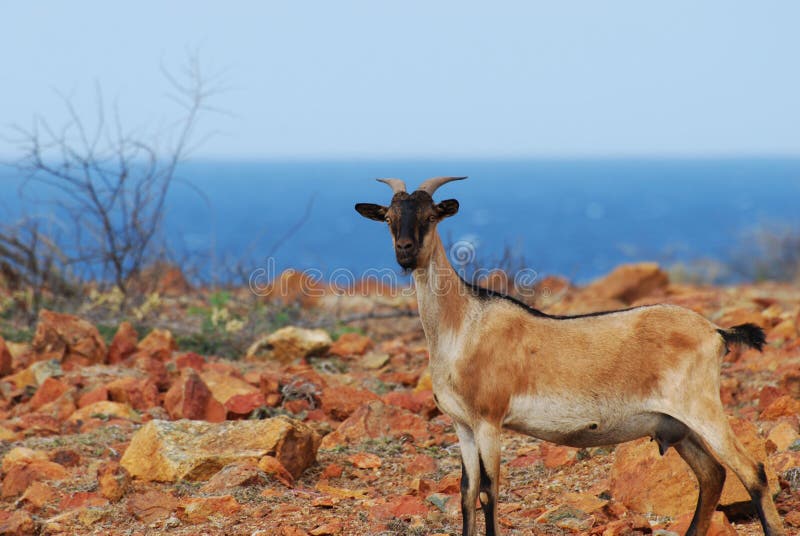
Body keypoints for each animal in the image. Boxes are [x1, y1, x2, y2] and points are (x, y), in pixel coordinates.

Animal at [355, 177, 785, 536]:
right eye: (389, 218)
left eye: (430, 216)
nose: (405, 252)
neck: (463, 325)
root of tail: (715, 332)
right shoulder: (462, 425)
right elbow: (466, 492)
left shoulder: (489, 421)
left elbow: (490, 492)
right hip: (675, 424)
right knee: (712, 474)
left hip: (701, 407)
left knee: (752, 471)